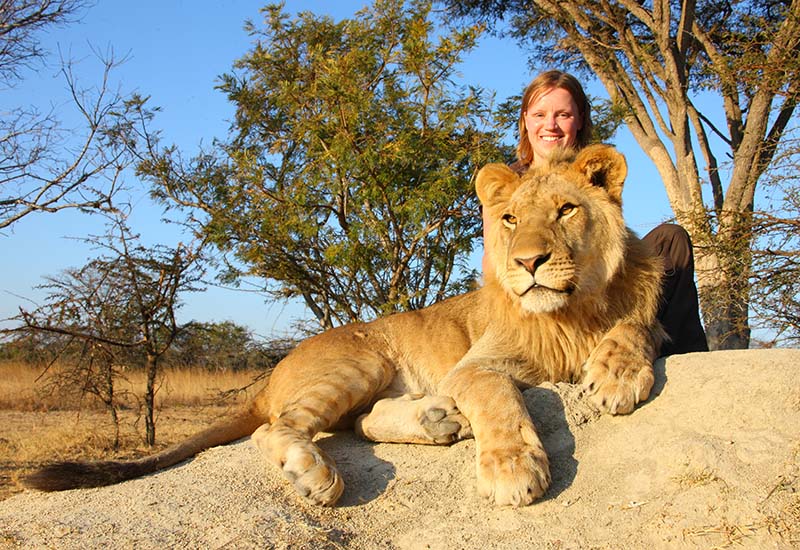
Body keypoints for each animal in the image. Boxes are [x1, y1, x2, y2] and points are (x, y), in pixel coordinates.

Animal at [23, 144, 664, 507]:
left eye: (566, 210)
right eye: (508, 219)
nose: (528, 262)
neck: (570, 315)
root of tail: (268, 378)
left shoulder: (634, 321)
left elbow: (636, 329)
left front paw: (614, 376)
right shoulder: (473, 365)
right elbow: (499, 396)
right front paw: (512, 469)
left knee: (360, 421)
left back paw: (437, 419)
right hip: (362, 358)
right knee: (280, 428)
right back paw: (315, 472)